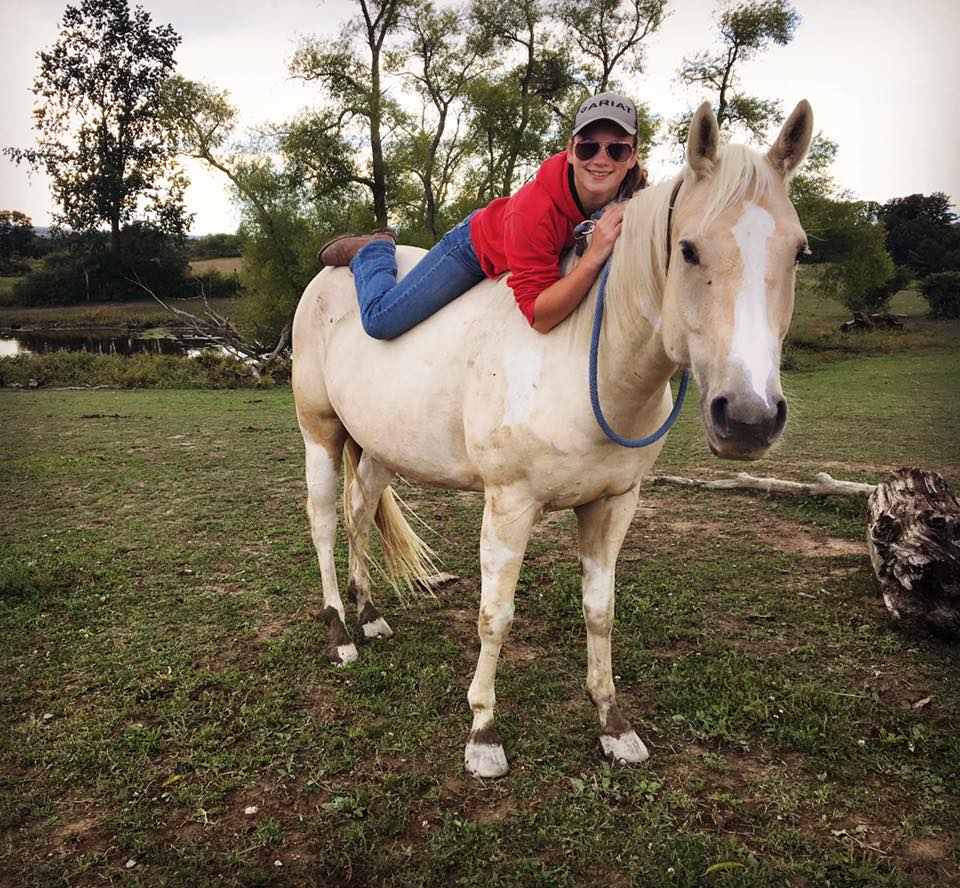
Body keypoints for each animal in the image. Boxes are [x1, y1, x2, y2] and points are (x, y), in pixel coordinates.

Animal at [291, 100, 814, 778]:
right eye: (688, 249)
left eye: (799, 252)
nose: (749, 416)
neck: (582, 357)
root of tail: (326, 278)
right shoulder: (509, 505)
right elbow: (495, 617)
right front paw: (483, 733)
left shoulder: (613, 505)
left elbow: (600, 612)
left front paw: (613, 724)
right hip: (321, 433)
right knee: (326, 521)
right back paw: (339, 634)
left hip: (380, 447)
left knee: (358, 514)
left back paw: (370, 617)